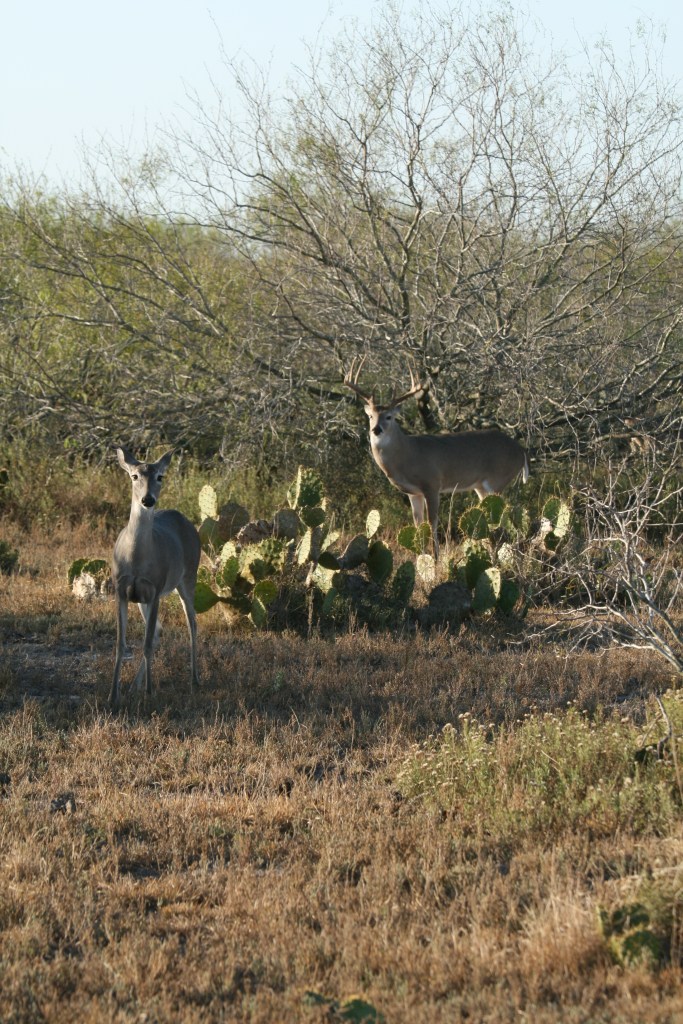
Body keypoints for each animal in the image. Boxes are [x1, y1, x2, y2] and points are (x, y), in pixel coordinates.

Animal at [109, 447, 201, 712]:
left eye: (160, 476)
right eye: (134, 476)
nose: (148, 500)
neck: (136, 558)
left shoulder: (156, 589)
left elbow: (147, 643)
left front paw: (150, 693)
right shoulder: (120, 590)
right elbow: (121, 644)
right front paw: (114, 695)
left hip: (188, 577)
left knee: (192, 623)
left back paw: (194, 679)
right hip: (143, 599)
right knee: (160, 629)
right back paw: (133, 687)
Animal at [344, 360, 529, 559]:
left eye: (389, 416)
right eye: (370, 416)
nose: (376, 429)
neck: (407, 454)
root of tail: (521, 450)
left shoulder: (432, 484)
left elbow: (432, 523)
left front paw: (436, 558)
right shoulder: (413, 492)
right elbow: (417, 526)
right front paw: (419, 557)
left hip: (498, 480)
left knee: (504, 516)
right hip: (481, 486)